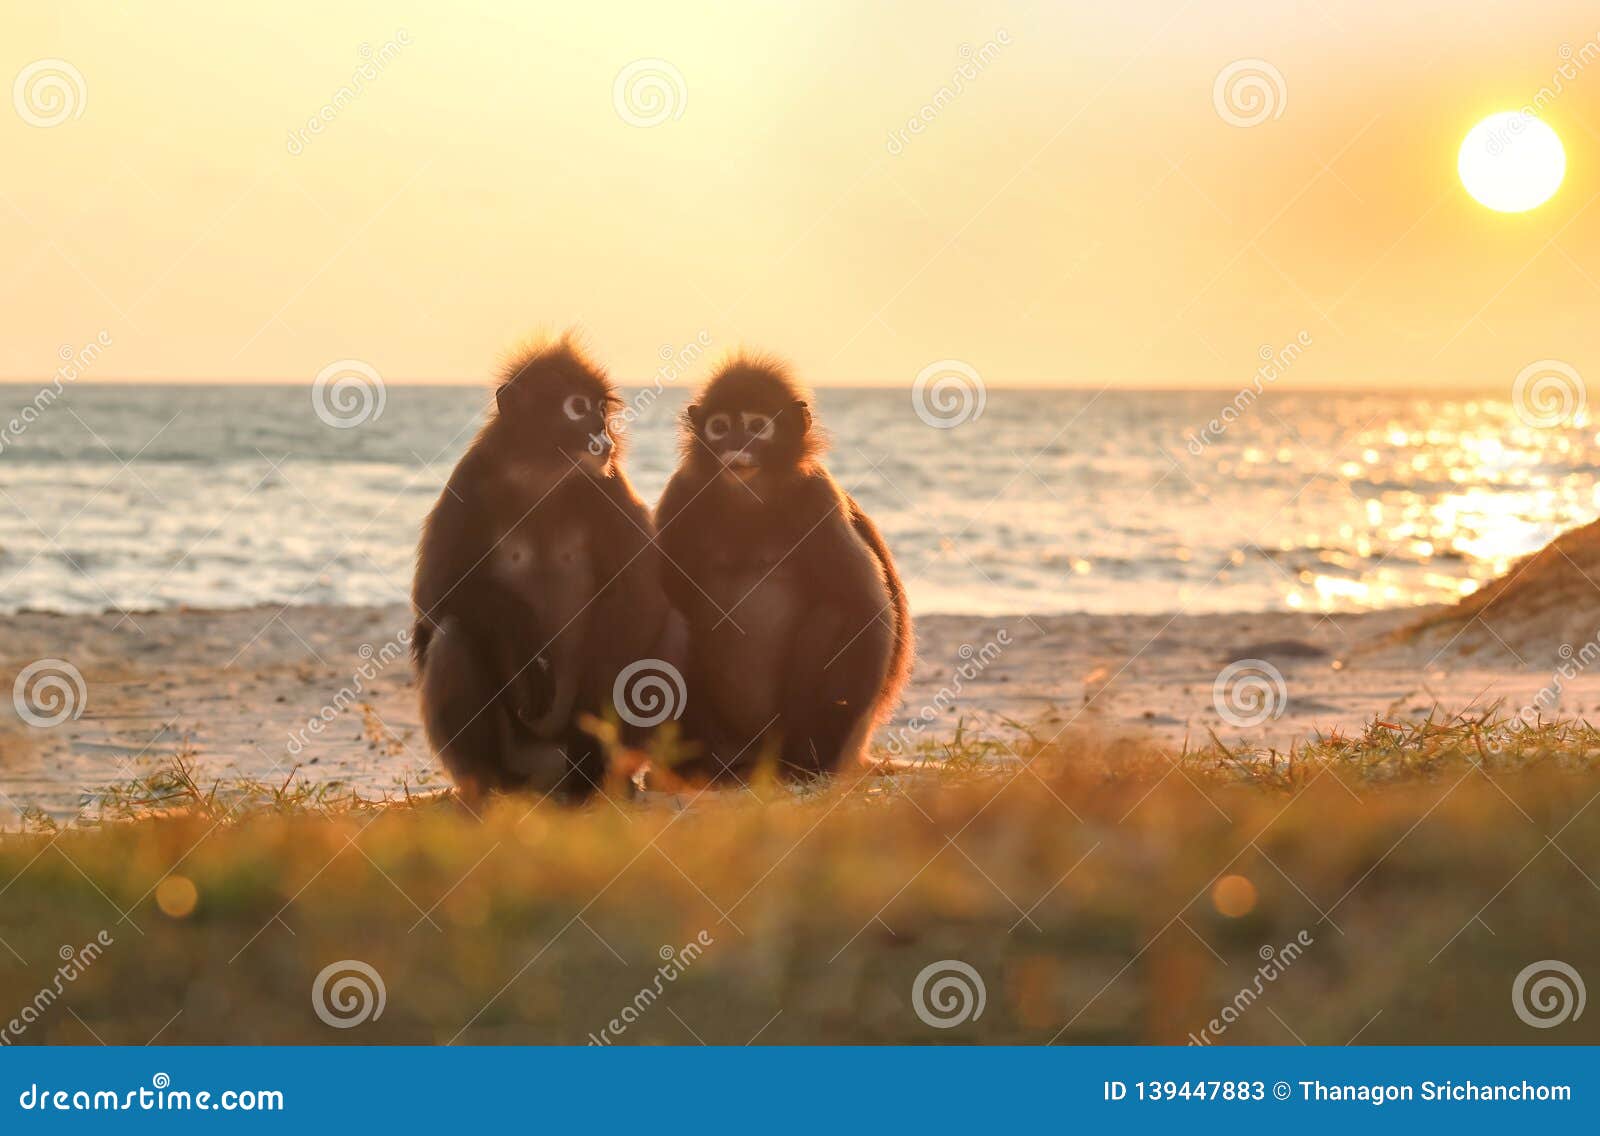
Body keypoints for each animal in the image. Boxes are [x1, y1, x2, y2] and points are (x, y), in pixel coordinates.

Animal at [411, 337, 672, 804]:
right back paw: (491, 788)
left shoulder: (610, 485)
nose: (602, 433)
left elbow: (642, 599)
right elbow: (434, 593)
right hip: (517, 752)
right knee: (454, 634)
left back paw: (602, 779)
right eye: (576, 407)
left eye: (599, 409)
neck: (541, 479)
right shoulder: (468, 479)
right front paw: (525, 644)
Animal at [653, 355, 912, 784]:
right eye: (720, 427)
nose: (736, 447)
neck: (748, 503)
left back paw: (801, 764)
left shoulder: (818, 498)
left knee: (836, 612)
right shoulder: (679, 496)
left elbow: (864, 609)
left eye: (757, 427)